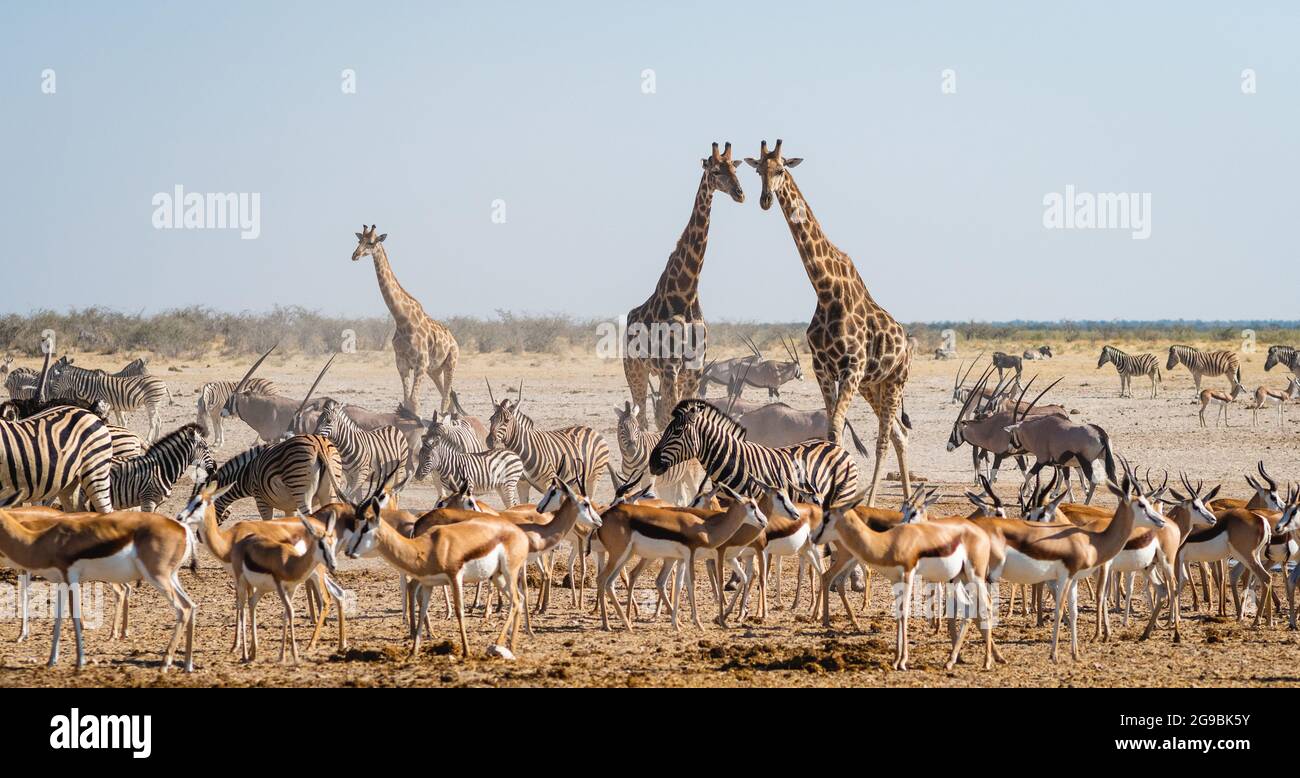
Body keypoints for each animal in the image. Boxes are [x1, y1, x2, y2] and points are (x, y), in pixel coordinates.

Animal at [211, 434, 344, 519]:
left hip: (302, 492)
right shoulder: (290, 507)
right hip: (329, 493)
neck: (247, 474)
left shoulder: (261, 500)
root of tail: (318, 443)